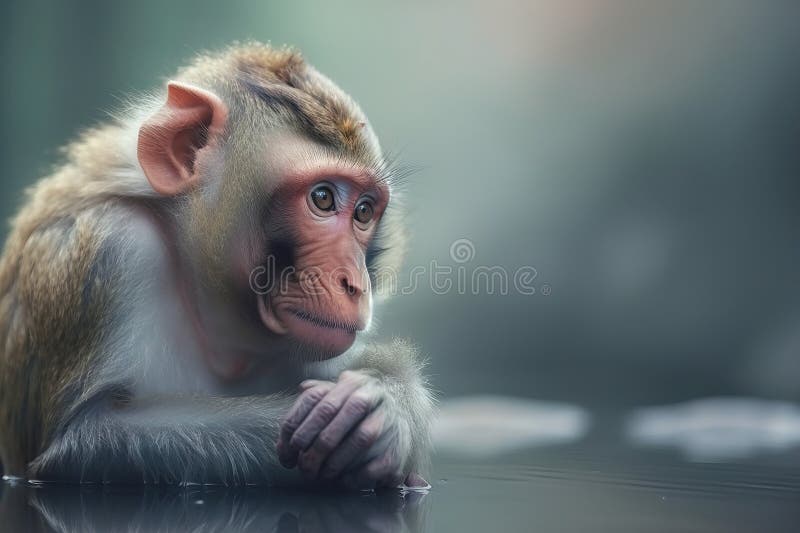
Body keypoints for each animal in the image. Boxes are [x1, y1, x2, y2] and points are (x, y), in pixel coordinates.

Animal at [0, 42, 434, 489]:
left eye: (363, 211)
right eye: (323, 198)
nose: (355, 284)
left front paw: (387, 401)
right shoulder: (107, 250)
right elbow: (85, 439)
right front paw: (382, 422)